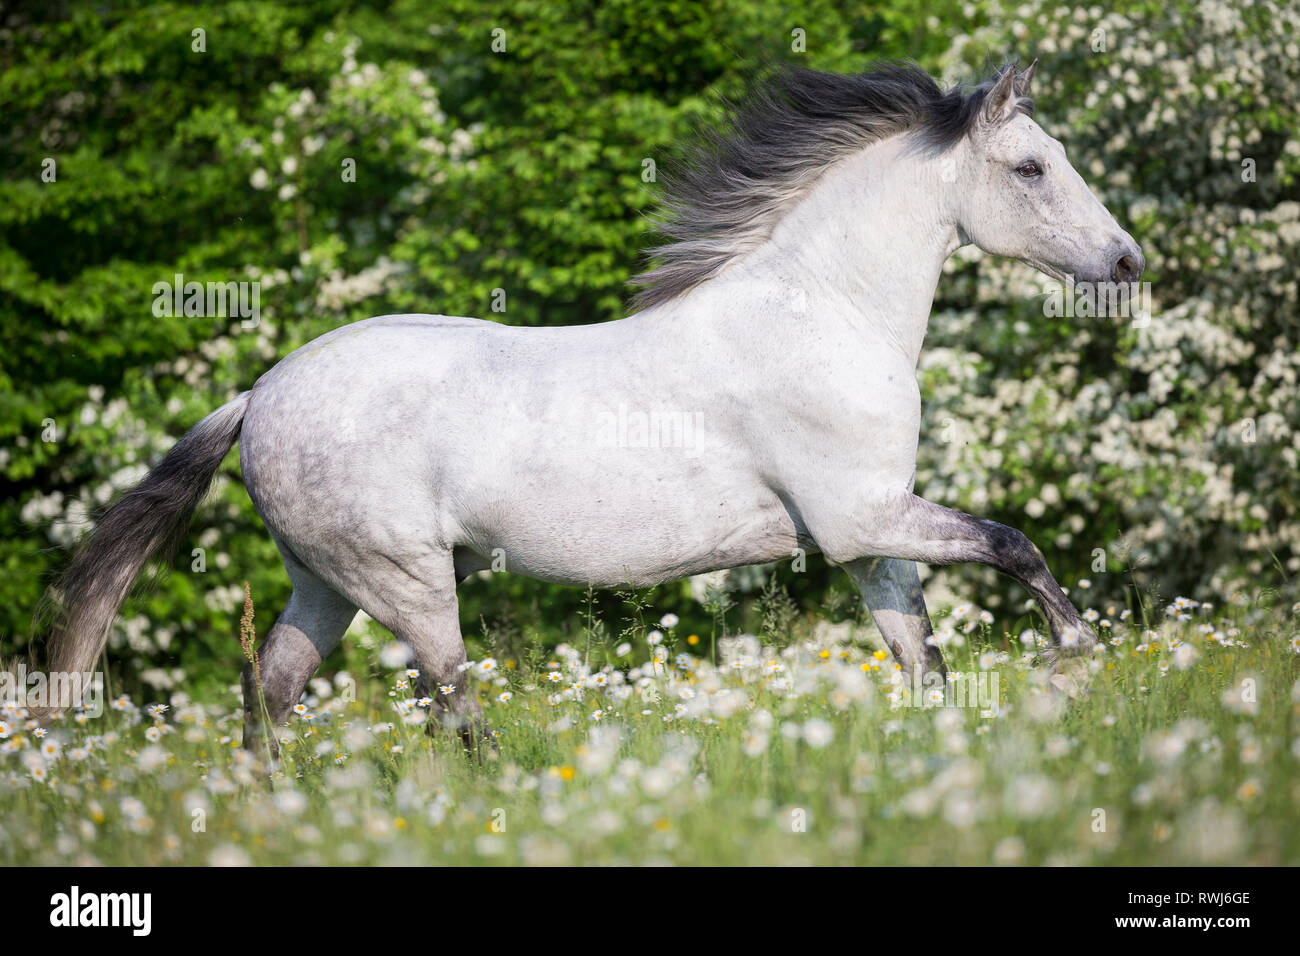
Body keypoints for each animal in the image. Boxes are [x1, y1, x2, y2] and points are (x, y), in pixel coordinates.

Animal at [39, 60, 1142, 752]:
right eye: (1031, 166)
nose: (1126, 262)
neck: (823, 309)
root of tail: (262, 390)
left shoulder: (869, 539)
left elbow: (925, 660)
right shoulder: (860, 516)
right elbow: (1014, 545)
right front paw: (1077, 664)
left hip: (327, 584)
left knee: (268, 695)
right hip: (407, 585)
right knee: (453, 704)